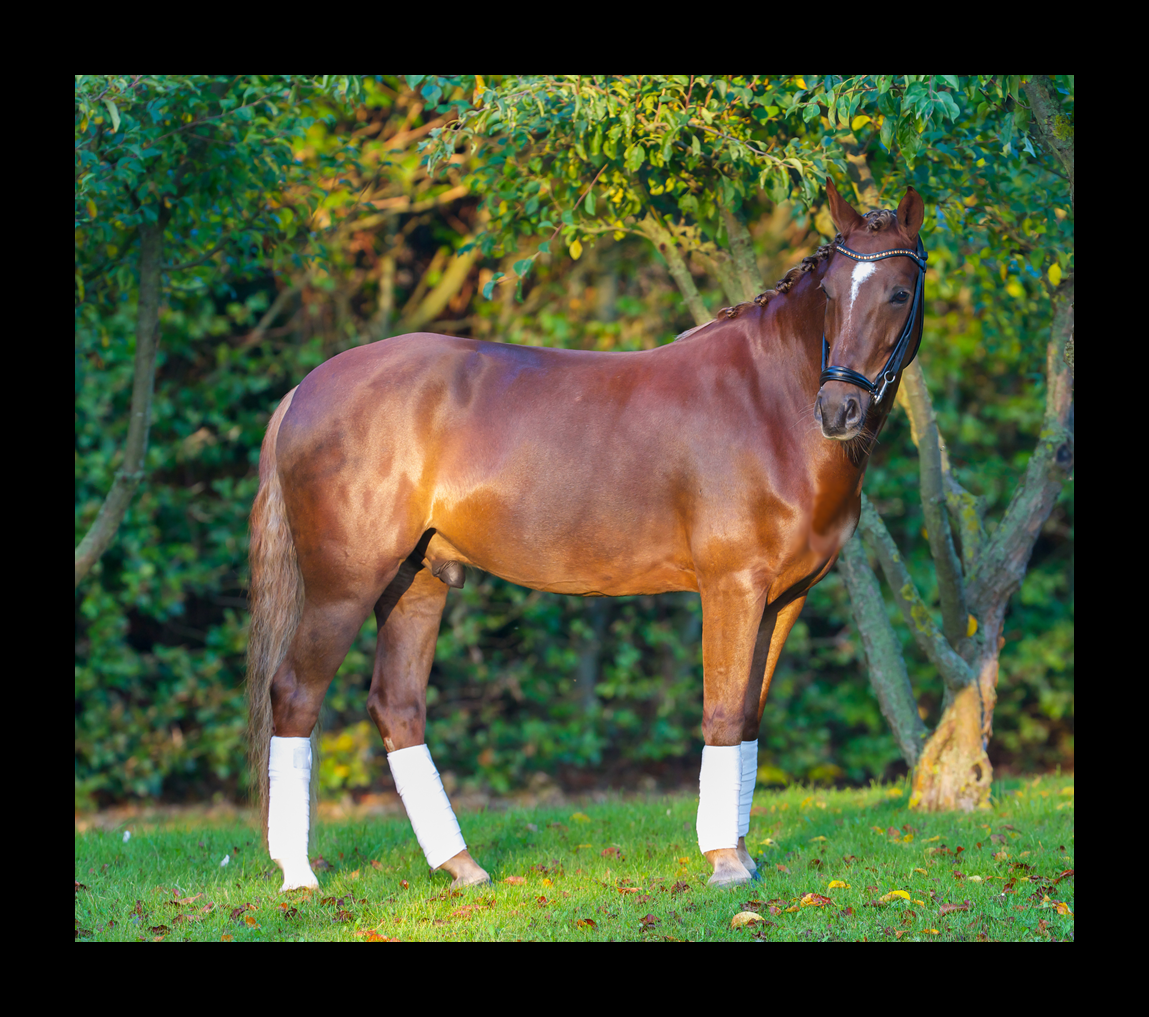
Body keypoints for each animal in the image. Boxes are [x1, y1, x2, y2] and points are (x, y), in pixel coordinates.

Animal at [247, 180, 927, 889]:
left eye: (898, 292)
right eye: (832, 294)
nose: (838, 410)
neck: (767, 404)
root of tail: (306, 389)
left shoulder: (785, 598)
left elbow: (747, 717)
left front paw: (743, 853)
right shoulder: (732, 587)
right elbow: (721, 714)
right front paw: (724, 863)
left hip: (417, 581)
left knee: (396, 707)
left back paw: (461, 866)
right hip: (344, 585)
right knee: (295, 695)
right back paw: (299, 874)